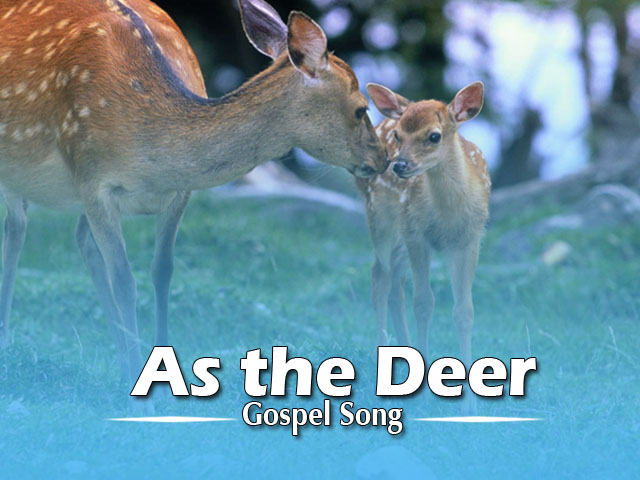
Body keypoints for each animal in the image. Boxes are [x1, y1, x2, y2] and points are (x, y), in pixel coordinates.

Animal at [0, 0, 388, 386]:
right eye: (361, 108)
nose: (383, 158)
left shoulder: (178, 192)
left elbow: (162, 270)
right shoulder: (93, 180)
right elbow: (124, 279)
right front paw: (136, 381)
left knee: (78, 241)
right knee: (17, 231)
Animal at [356, 82, 490, 377]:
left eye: (434, 136)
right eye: (398, 135)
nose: (399, 164)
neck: (447, 215)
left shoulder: (470, 239)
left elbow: (465, 311)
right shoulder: (417, 233)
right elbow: (423, 303)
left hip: (401, 237)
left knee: (395, 283)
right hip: (380, 216)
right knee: (380, 276)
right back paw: (382, 348)